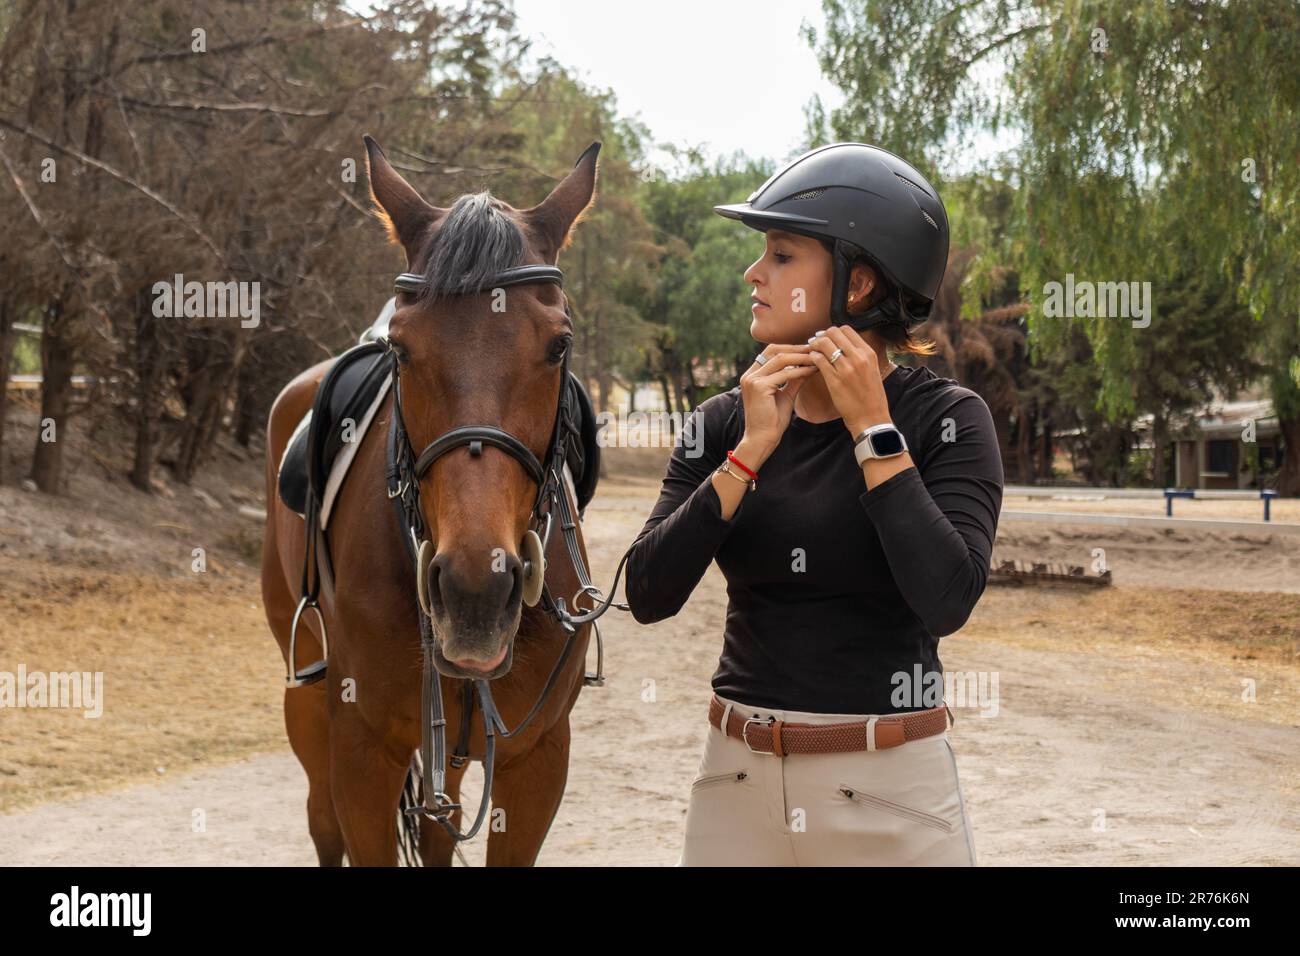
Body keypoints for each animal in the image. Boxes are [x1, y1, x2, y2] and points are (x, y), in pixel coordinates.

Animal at [260, 136, 603, 866]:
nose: (476, 592)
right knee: (322, 821)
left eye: (559, 345)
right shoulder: (362, 753)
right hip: (307, 698)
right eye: (402, 348)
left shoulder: (538, 759)